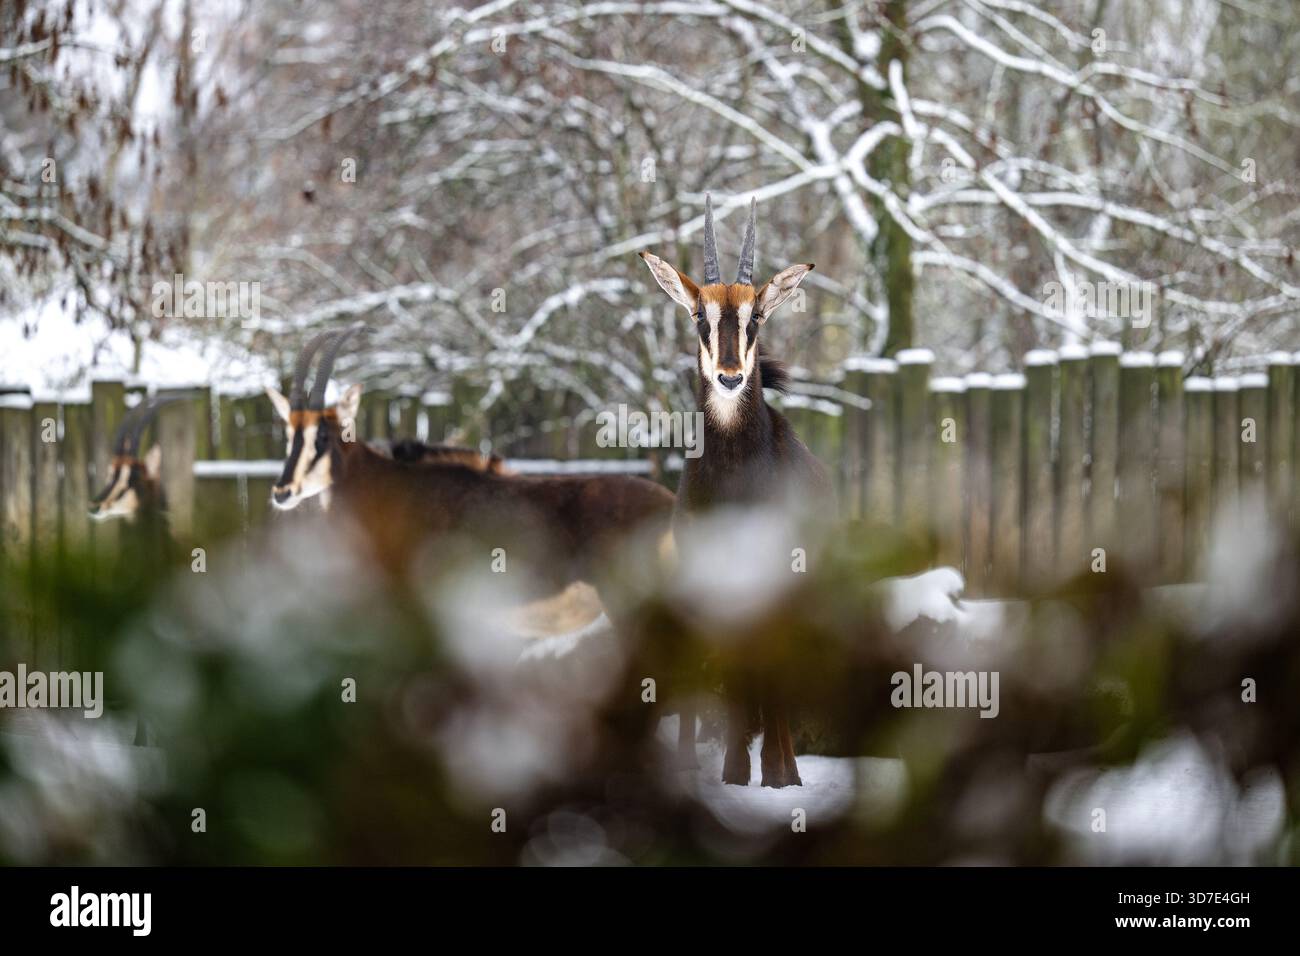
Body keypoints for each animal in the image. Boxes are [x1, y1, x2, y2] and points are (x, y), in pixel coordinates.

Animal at [639, 195, 827, 788]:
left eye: (756, 317)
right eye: (700, 316)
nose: (728, 377)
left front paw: (773, 772)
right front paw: (728, 768)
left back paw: (784, 765)